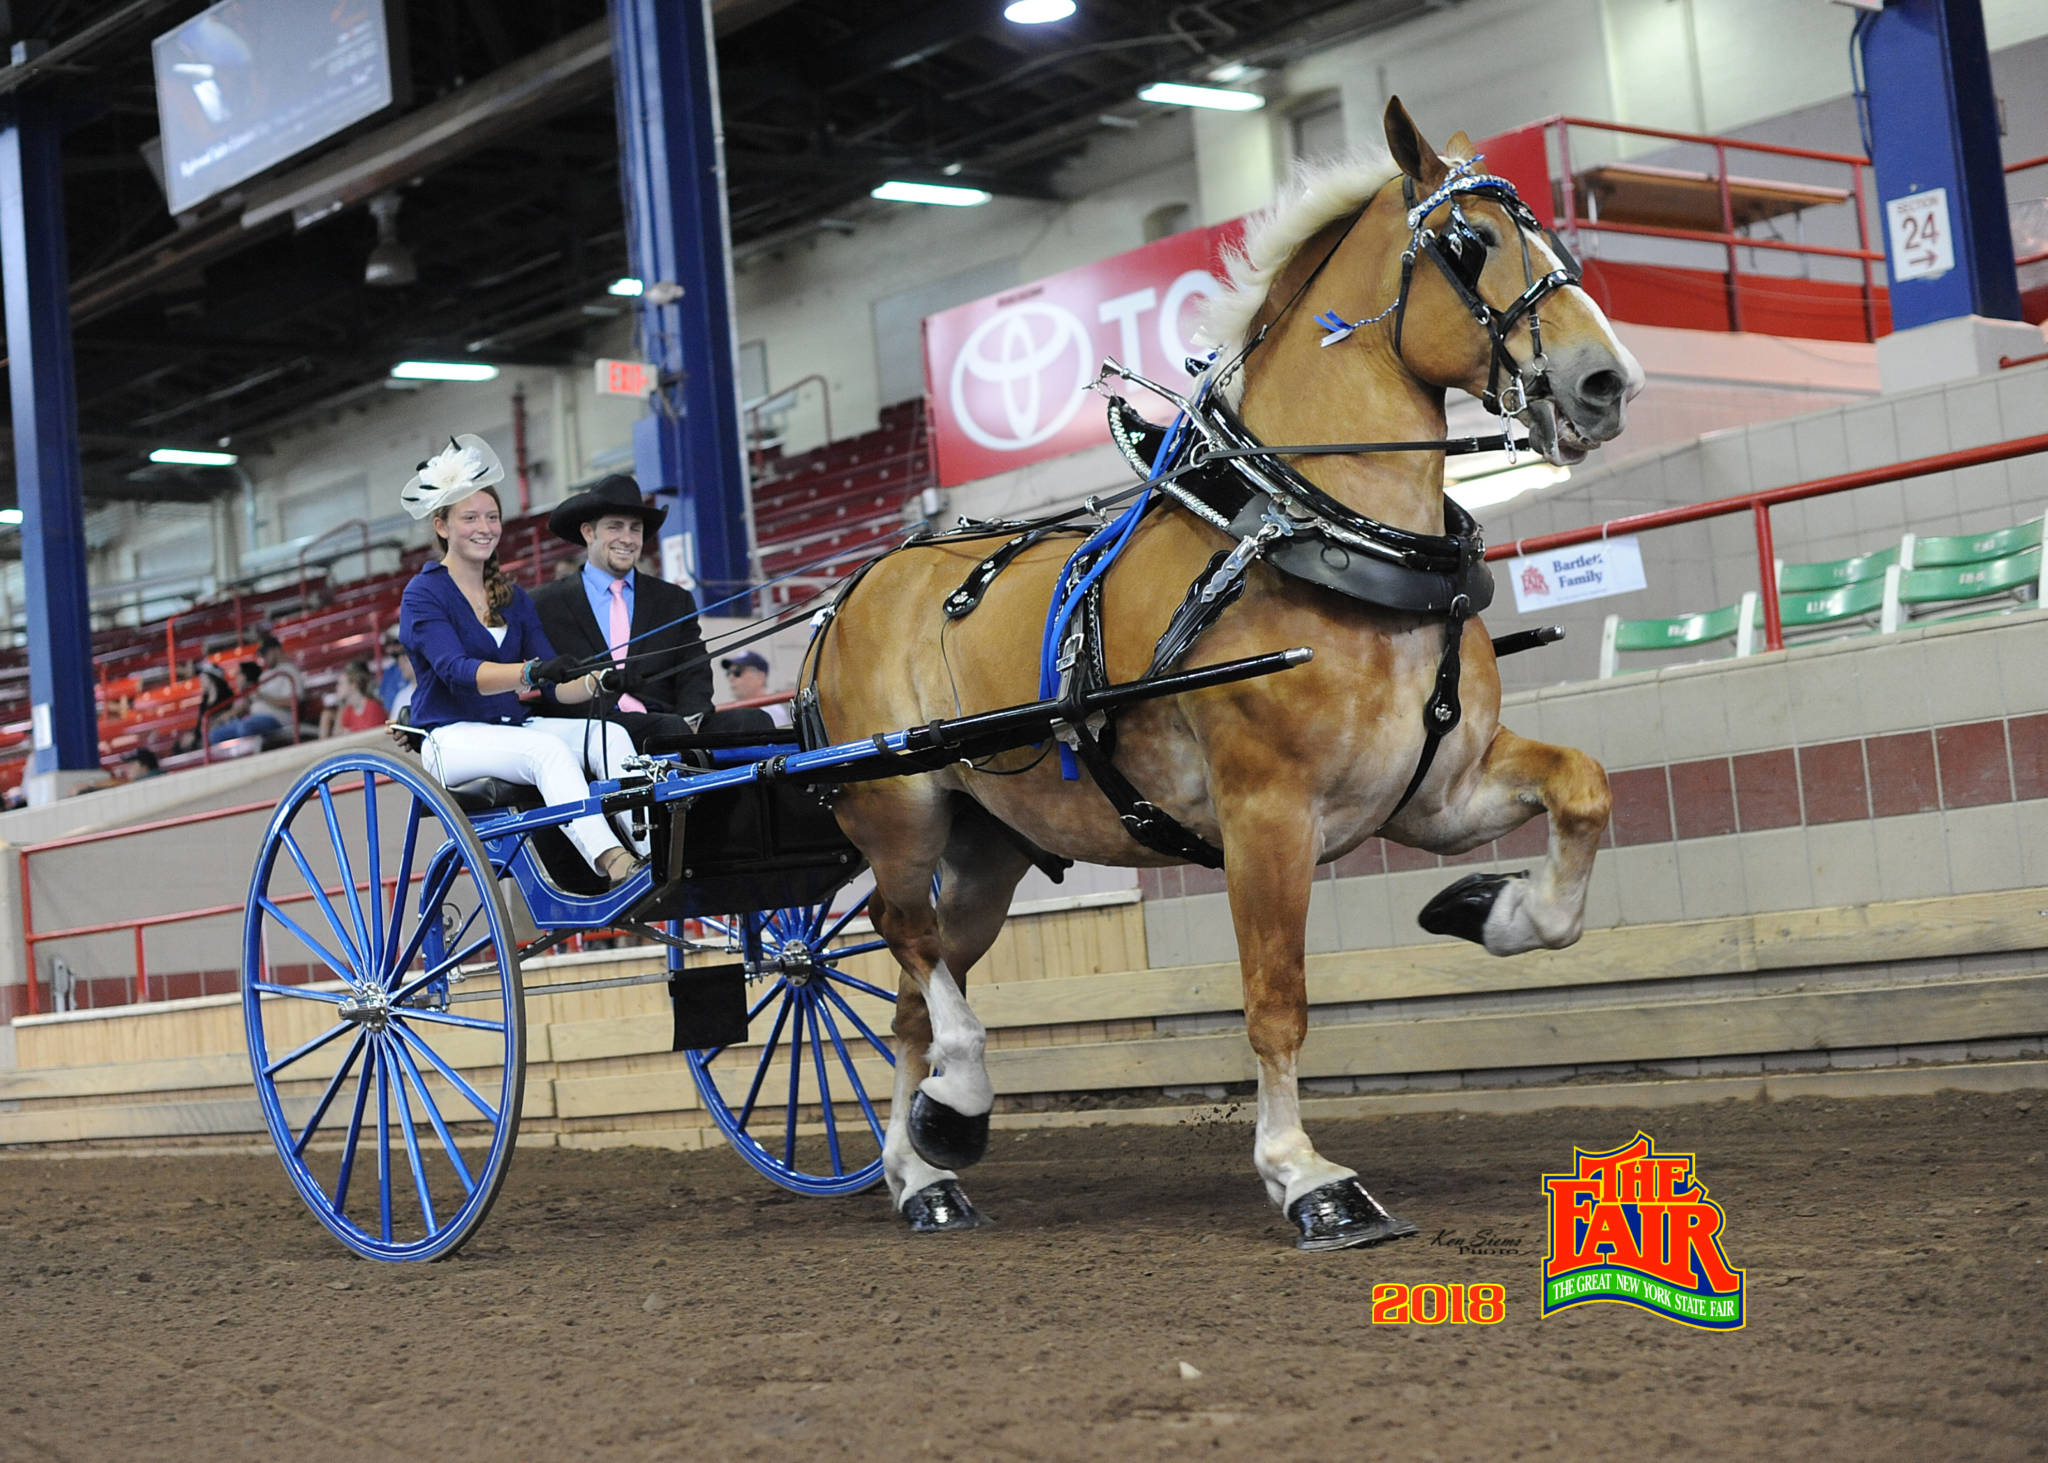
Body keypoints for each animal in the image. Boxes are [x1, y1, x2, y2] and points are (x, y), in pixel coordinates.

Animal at [803, 98, 1644, 1248]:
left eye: (1556, 234)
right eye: (1468, 244)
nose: (1606, 383)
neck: (1327, 538)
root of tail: (852, 590)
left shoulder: (1438, 790)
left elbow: (1582, 791)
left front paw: (1493, 907)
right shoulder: (1265, 812)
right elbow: (1274, 994)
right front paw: (1305, 1176)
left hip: (988, 846)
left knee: (909, 994)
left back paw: (921, 1166)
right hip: (899, 813)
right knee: (908, 946)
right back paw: (954, 1112)